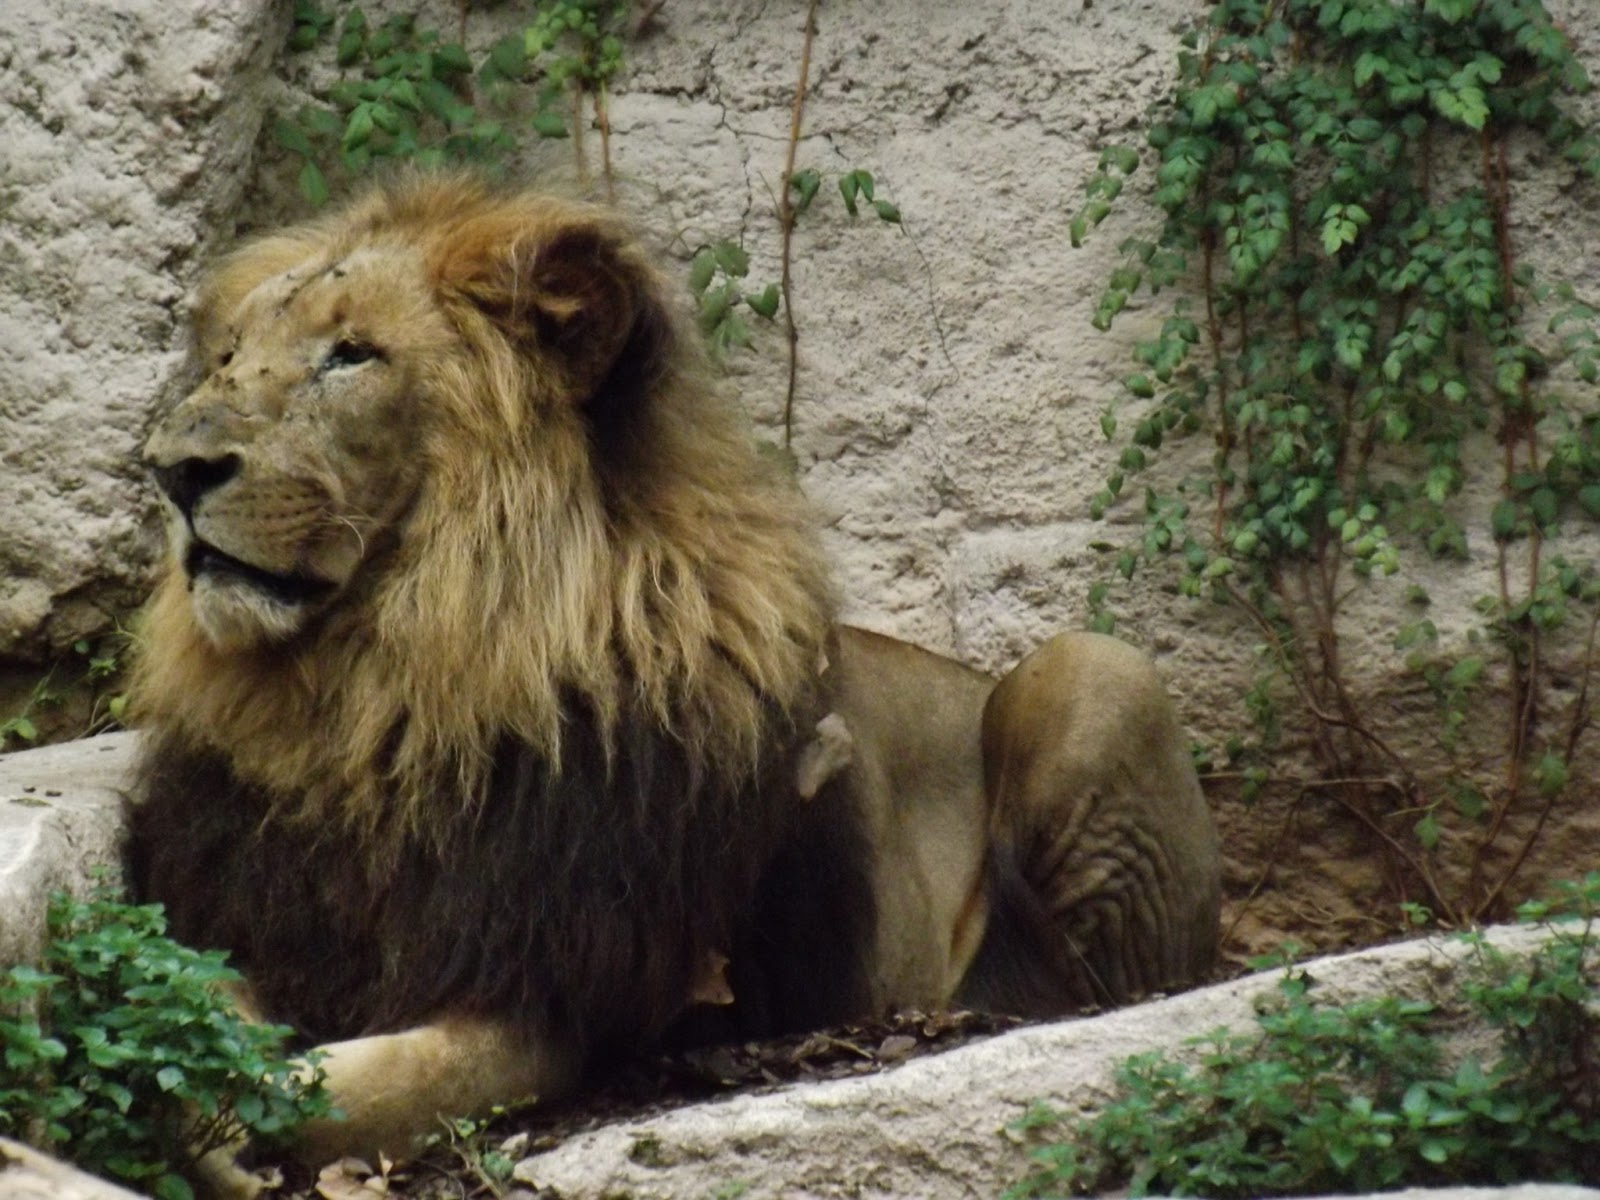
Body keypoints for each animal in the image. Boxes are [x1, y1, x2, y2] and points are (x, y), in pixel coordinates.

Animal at [127, 174, 1220, 1167]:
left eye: (352, 355)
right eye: (230, 357)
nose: (171, 469)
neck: (377, 696)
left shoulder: (551, 988)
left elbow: (330, 1090)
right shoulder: (240, 910)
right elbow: (196, 1000)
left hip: (1095, 670)